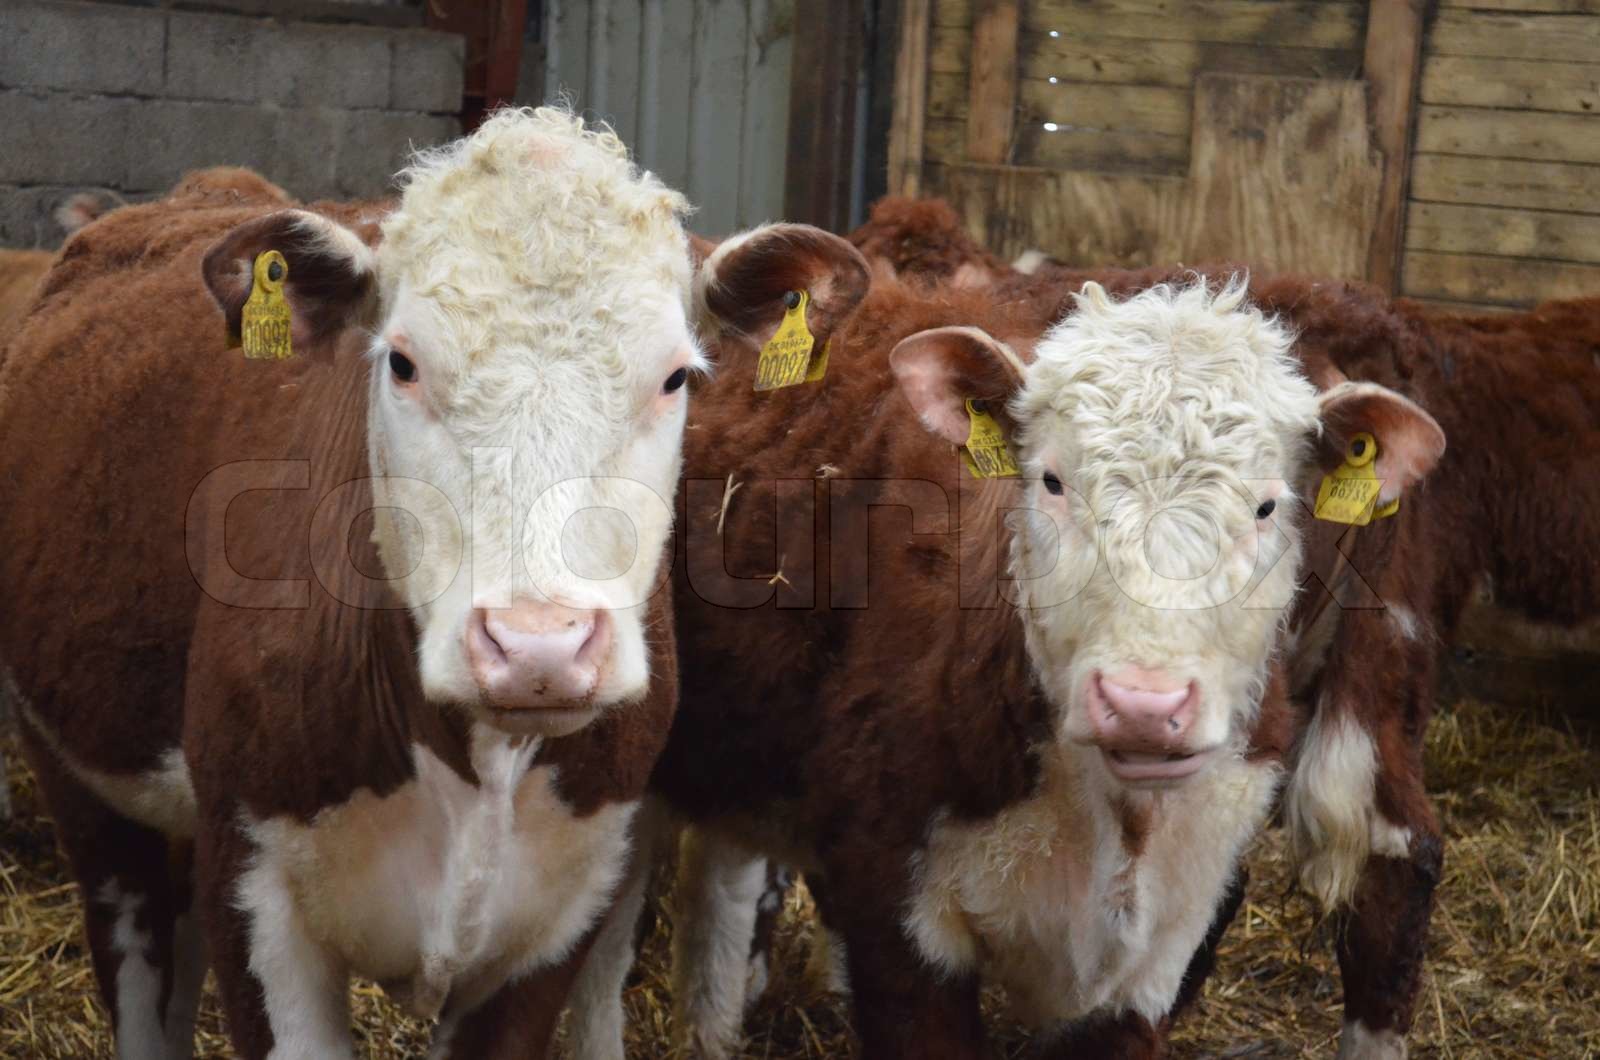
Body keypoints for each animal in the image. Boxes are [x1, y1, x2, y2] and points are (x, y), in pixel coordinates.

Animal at [0, 108, 846, 1059]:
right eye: (401, 363)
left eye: (675, 377)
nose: (537, 648)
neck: (480, 767)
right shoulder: (254, 893)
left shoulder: (561, 918)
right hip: (82, 781)